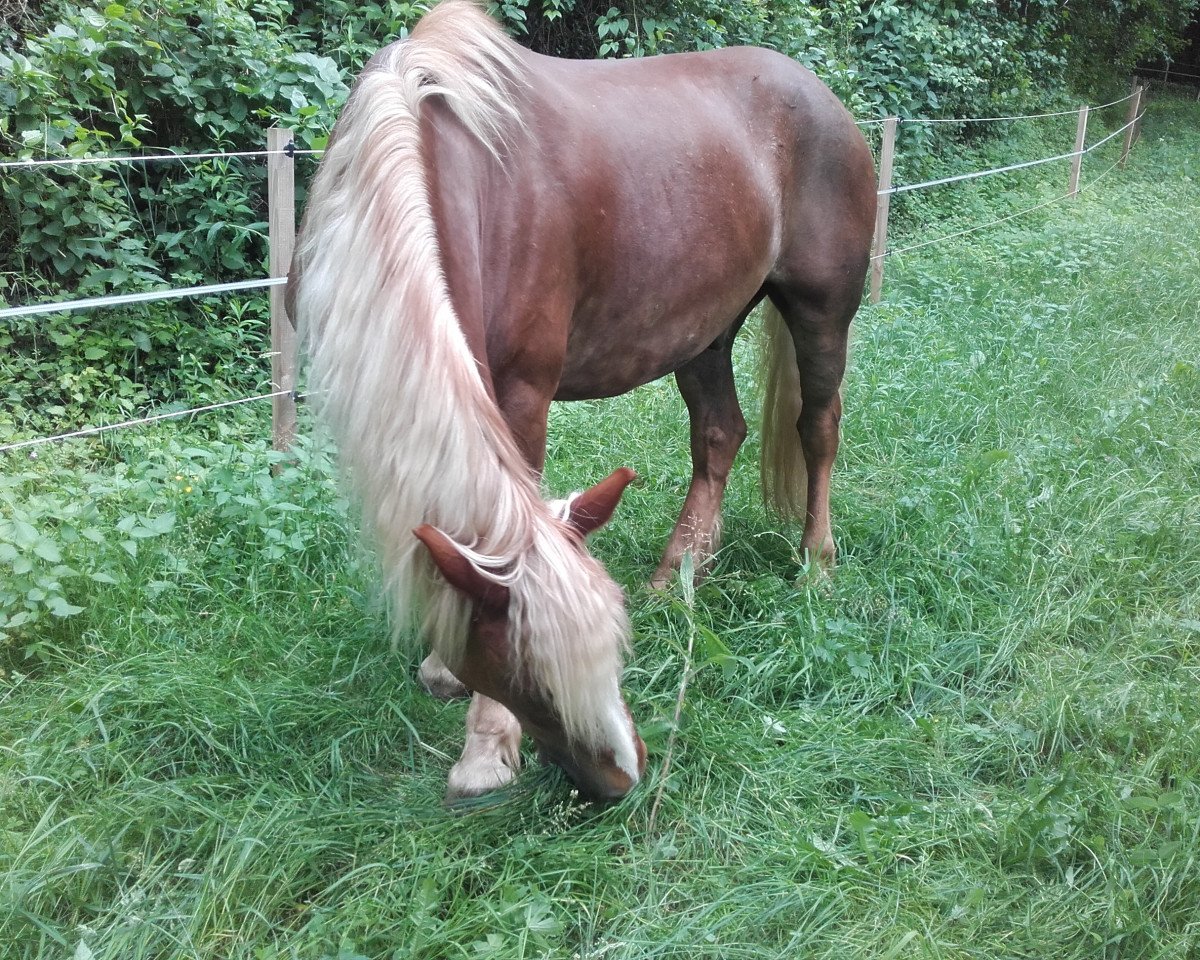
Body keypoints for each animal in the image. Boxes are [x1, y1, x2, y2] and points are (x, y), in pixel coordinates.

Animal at [287, 0, 876, 803]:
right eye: (524, 681)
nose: (620, 780)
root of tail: (820, 95)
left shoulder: (523, 393)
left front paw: (482, 750)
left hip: (820, 312)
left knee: (818, 427)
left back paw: (815, 564)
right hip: (702, 328)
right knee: (720, 434)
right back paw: (678, 576)